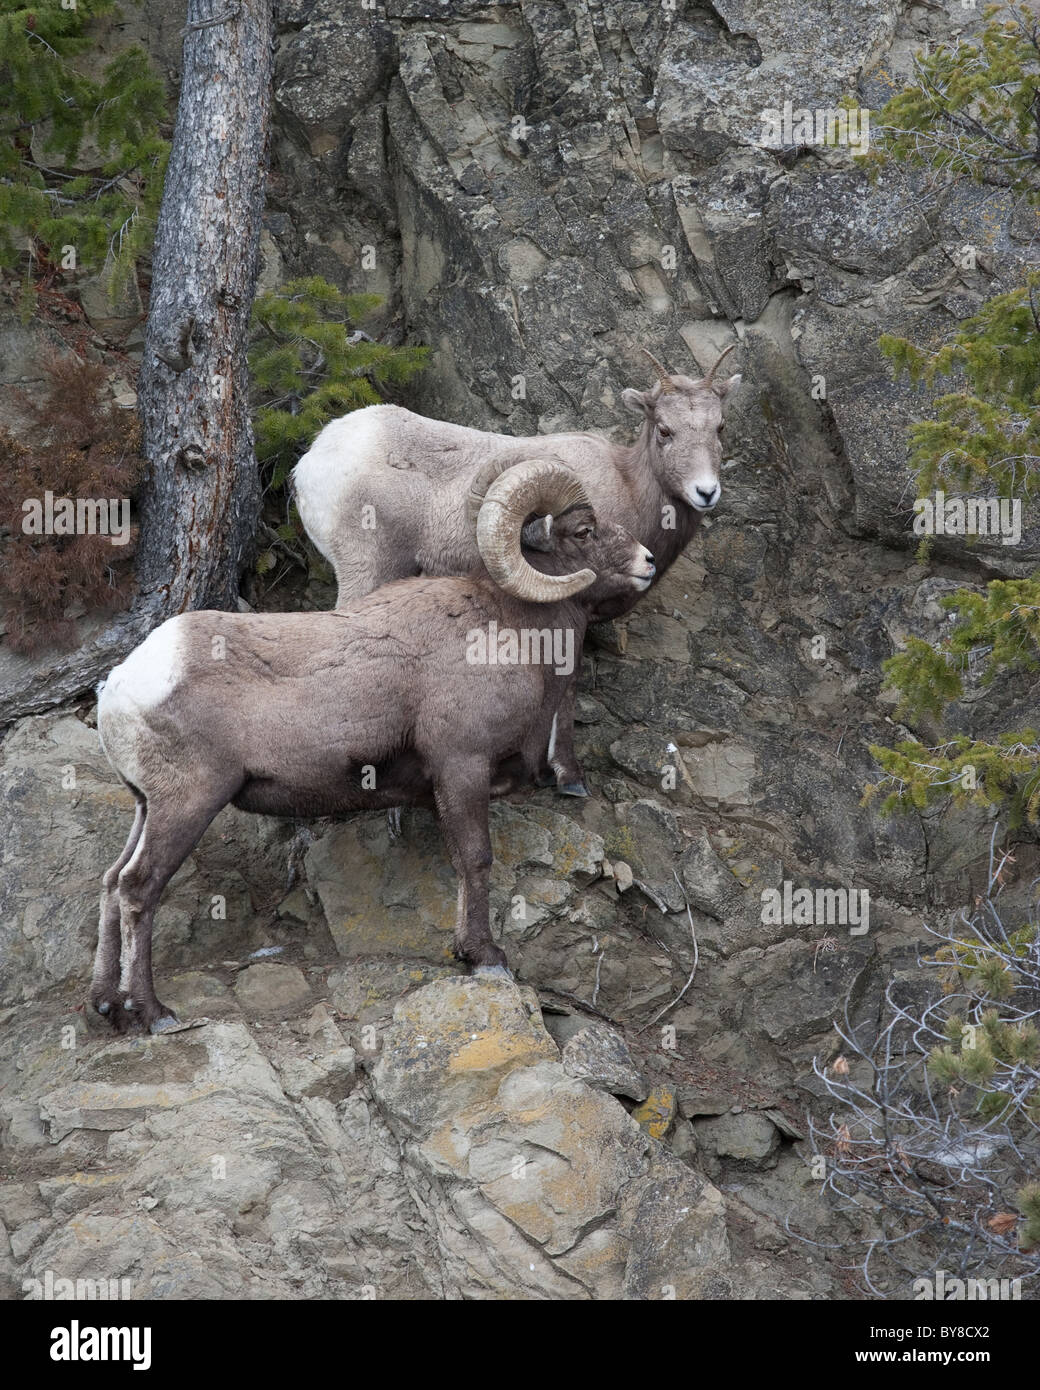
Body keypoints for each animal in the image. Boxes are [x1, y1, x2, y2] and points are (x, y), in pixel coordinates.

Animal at [91, 459, 655, 1034]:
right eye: (584, 532)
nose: (648, 562)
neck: (510, 631)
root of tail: (119, 686)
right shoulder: (462, 767)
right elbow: (475, 859)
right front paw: (483, 957)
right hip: (187, 804)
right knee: (138, 888)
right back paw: (155, 1014)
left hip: (147, 807)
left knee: (112, 884)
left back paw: (107, 1006)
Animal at [292, 346, 740, 794]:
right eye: (664, 430)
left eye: (719, 426)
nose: (705, 492)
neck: (630, 486)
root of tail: (311, 464)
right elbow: (568, 688)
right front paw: (568, 778)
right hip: (366, 572)